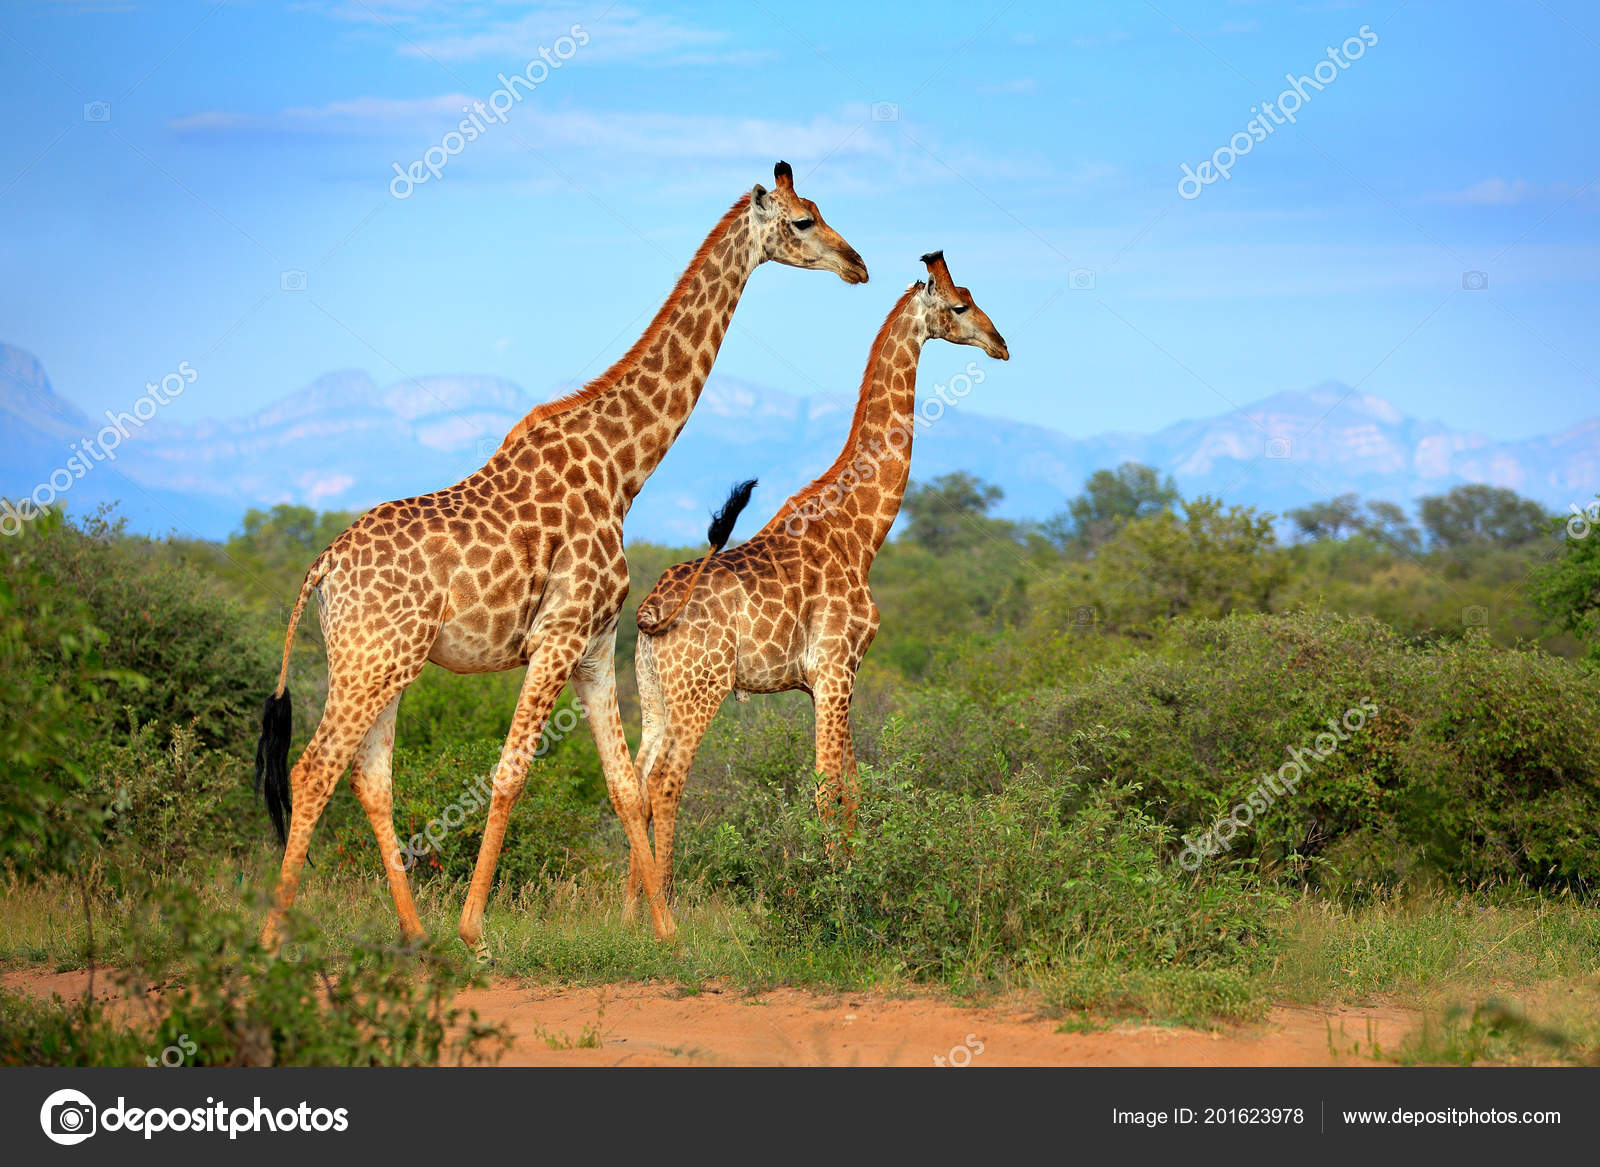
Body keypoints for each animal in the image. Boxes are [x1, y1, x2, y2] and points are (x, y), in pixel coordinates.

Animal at [253, 163, 868, 958]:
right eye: (802, 221)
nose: (857, 264)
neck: (622, 468)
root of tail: (321, 569)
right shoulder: (557, 634)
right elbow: (511, 771)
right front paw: (476, 930)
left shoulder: (595, 645)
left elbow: (626, 785)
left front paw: (666, 931)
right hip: (374, 657)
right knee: (313, 768)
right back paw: (277, 937)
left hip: (380, 660)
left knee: (370, 776)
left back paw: (413, 933)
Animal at [628, 251, 1008, 903]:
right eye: (960, 306)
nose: (1001, 344)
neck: (862, 532)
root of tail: (653, 610)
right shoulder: (835, 667)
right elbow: (830, 788)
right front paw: (839, 894)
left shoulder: (825, 679)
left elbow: (851, 785)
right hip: (700, 687)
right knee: (666, 781)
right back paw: (666, 903)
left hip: (653, 690)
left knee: (635, 778)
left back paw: (629, 909)